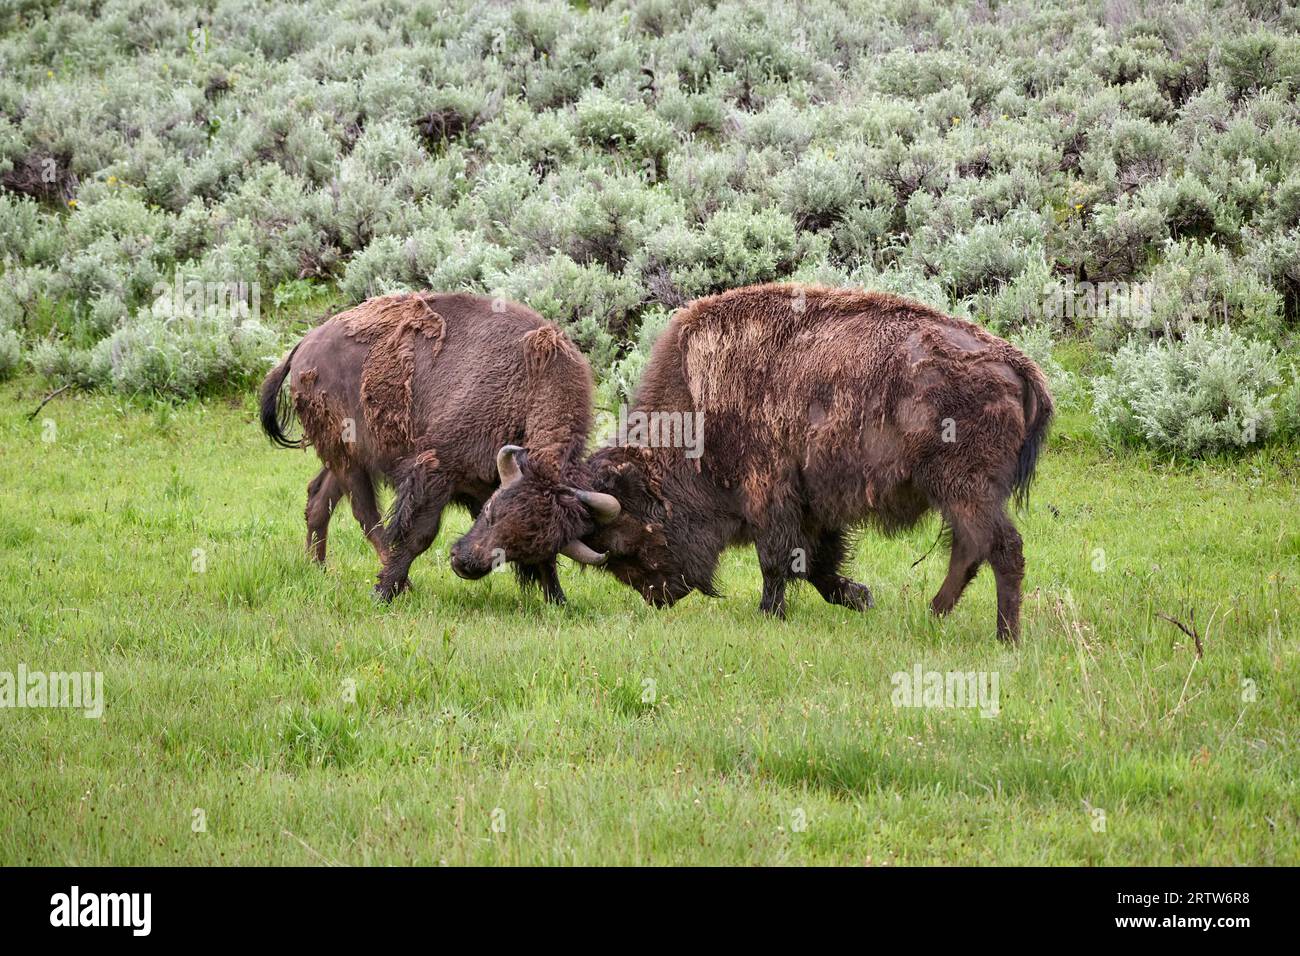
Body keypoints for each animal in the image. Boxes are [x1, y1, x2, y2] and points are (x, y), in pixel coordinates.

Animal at [260, 291, 593, 603]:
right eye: (490, 513)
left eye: (527, 543)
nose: (465, 565)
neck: (530, 383)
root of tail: (303, 346)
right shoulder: (436, 472)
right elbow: (420, 534)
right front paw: (383, 591)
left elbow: (547, 560)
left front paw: (558, 600)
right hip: (347, 455)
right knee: (366, 514)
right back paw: (403, 585)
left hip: (348, 457)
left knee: (319, 499)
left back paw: (317, 568)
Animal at [450, 283, 1053, 641]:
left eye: (625, 541)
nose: (659, 597)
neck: (697, 410)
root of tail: (1017, 365)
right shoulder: (812, 507)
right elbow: (817, 564)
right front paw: (859, 597)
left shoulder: (772, 494)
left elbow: (777, 560)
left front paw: (771, 613)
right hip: (957, 493)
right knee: (971, 548)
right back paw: (936, 613)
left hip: (965, 487)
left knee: (1001, 548)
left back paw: (1003, 635)